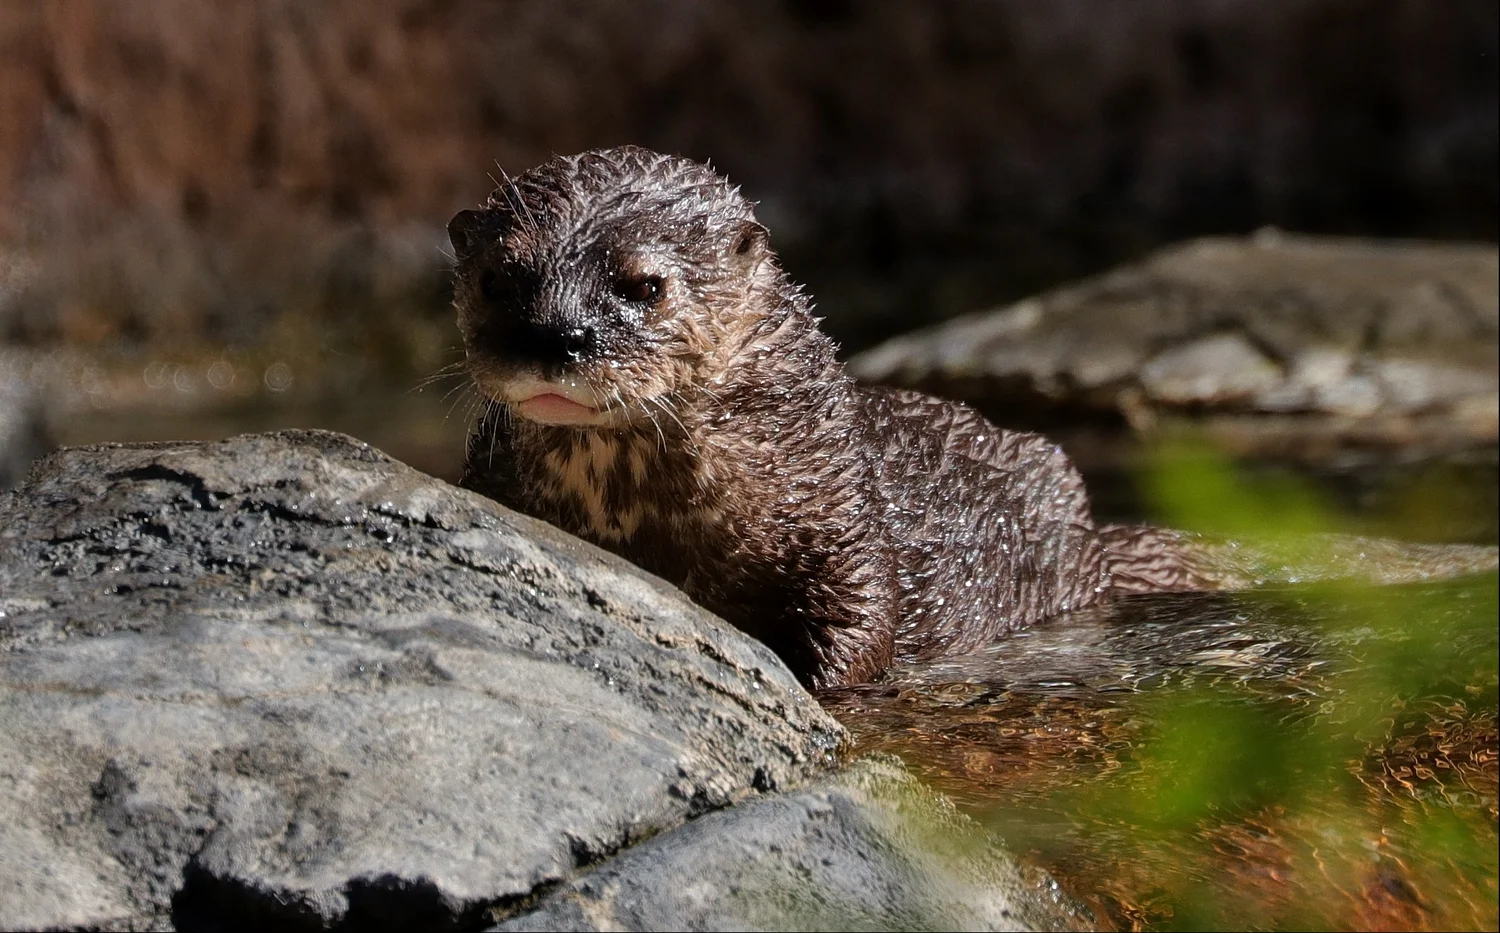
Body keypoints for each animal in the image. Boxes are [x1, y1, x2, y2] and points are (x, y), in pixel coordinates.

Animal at [447, 146, 1486, 689]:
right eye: (500, 276)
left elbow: (864, 618)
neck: (642, 515)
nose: (553, 336)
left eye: (644, 284)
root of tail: (1093, 539)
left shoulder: (841, 522)